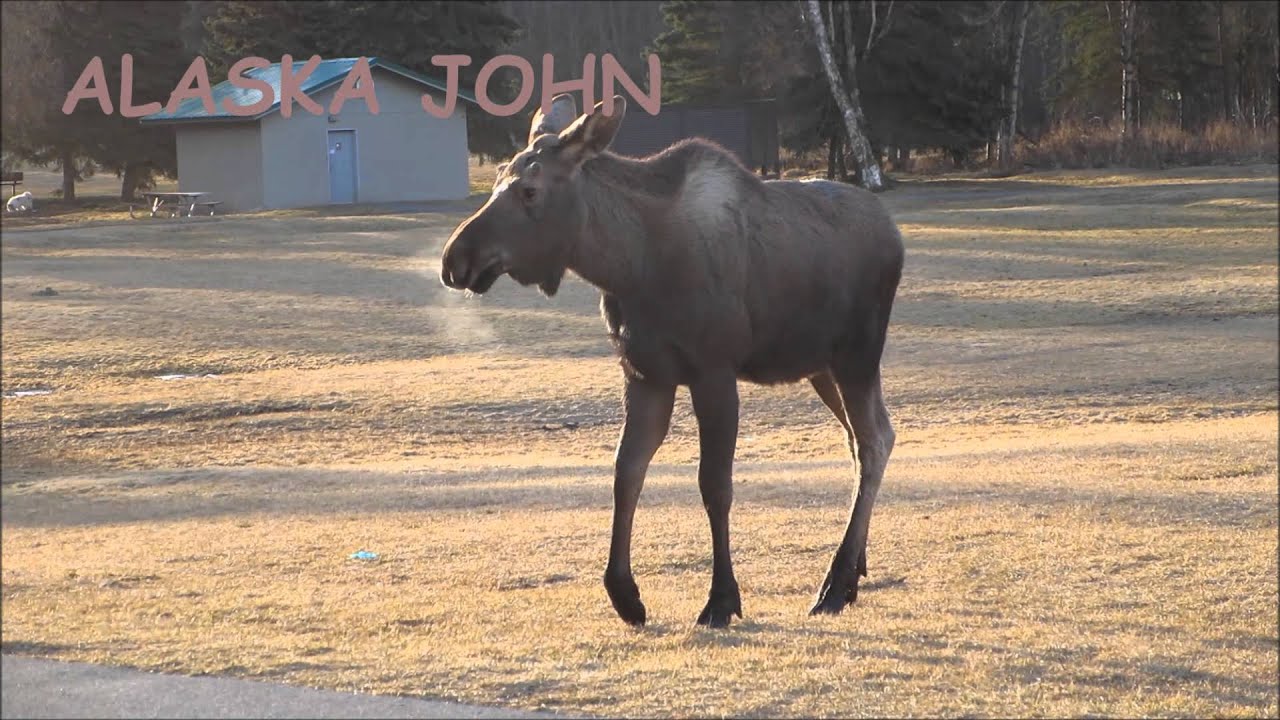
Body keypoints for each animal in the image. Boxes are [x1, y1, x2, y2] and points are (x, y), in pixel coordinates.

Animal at [439, 93, 905, 629]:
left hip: (857, 355)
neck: (629, 265)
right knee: (864, 439)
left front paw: (720, 599)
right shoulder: (646, 375)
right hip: (821, 366)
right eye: (498, 176)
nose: (456, 258)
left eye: (530, 190)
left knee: (874, 441)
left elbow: (714, 485)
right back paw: (853, 572)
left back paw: (834, 582)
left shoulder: (714, 371)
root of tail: (895, 235)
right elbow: (626, 472)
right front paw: (625, 594)